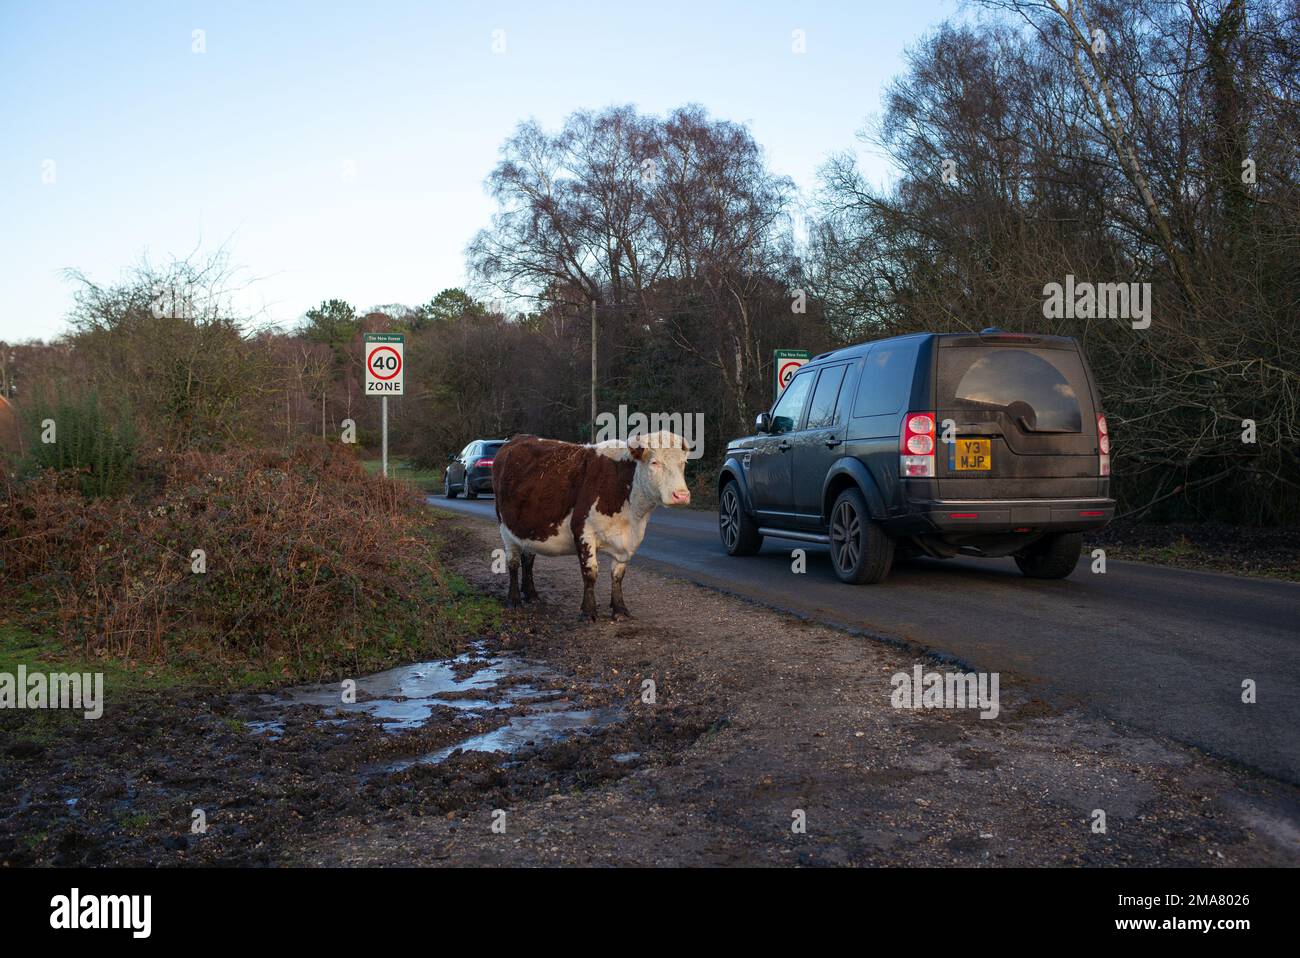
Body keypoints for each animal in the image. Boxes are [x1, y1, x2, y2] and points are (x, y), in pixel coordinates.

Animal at [493, 430, 692, 621]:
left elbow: (618, 575)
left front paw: (620, 610)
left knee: (528, 559)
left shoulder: (627, 541)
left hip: (528, 529)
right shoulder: (583, 532)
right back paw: (514, 599)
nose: (681, 495)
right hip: (505, 528)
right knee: (513, 562)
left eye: (683, 463)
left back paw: (531, 595)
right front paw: (588, 611)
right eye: (654, 462)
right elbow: (590, 572)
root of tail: (517, 439)